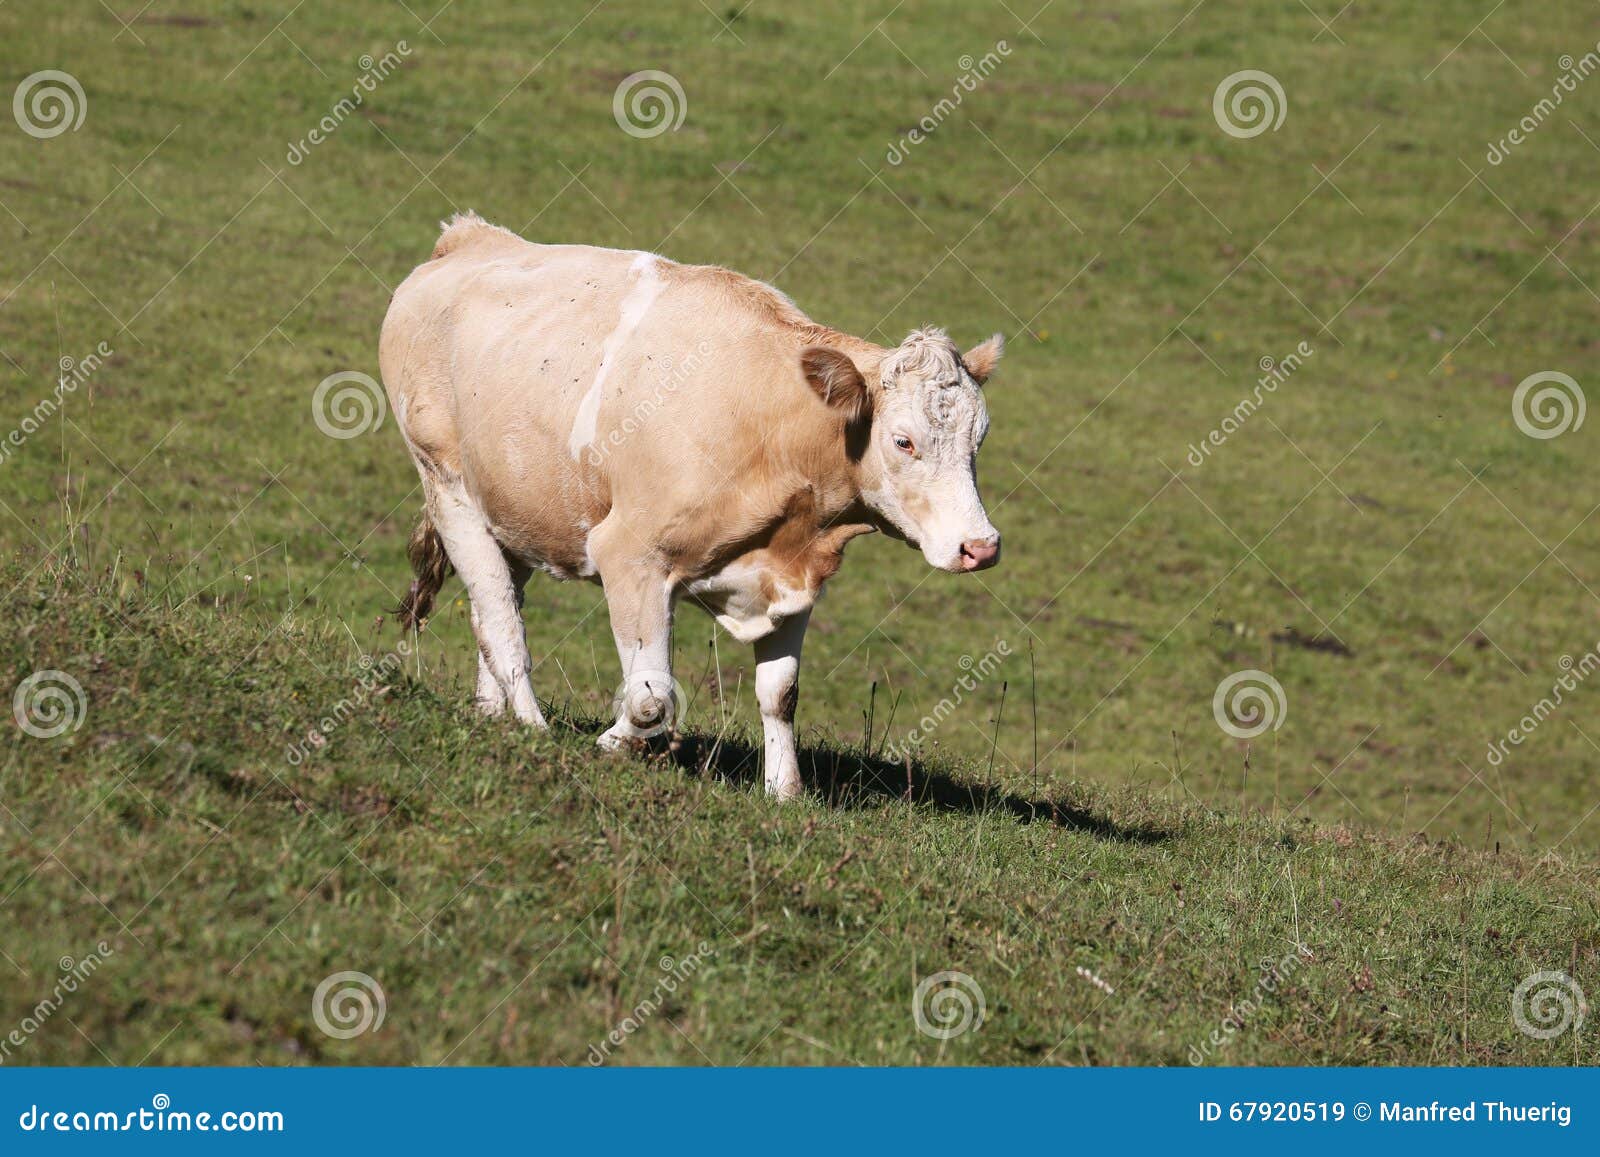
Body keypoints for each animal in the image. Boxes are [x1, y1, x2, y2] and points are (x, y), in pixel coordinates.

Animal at [378, 212, 1003, 800]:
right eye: (903, 441)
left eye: (980, 437)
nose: (981, 546)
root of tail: (471, 237)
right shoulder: (630, 556)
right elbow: (651, 696)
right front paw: (611, 741)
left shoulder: (795, 577)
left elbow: (781, 694)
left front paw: (785, 794)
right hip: (449, 488)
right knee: (502, 624)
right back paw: (533, 729)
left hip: (515, 507)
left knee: (496, 608)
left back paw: (494, 719)